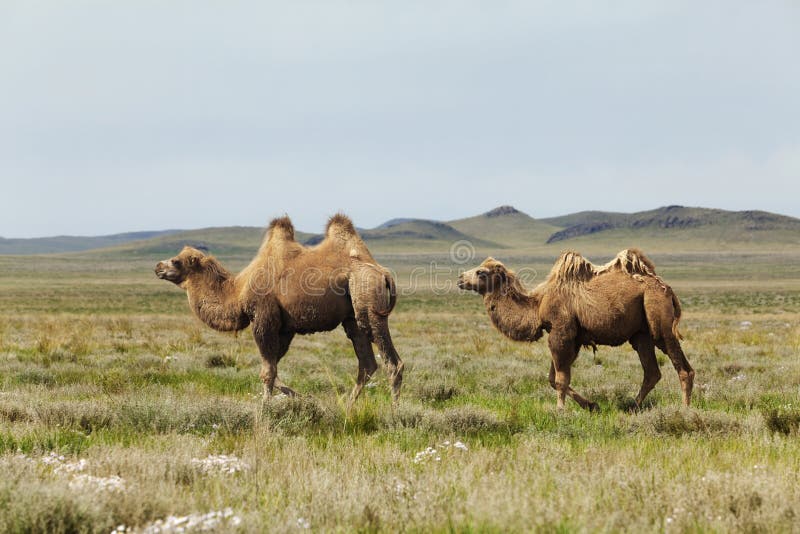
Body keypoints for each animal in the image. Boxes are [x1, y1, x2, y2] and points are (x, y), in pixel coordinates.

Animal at [155, 214, 404, 402]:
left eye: (176, 261)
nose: (158, 266)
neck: (238, 291)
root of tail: (383, 272)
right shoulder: (285, 327)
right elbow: (273, 369)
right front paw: (300, 396)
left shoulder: (263, 318)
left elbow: (267, 372)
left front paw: (264, 411)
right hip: (352, 316)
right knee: (367, 364)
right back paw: (348, 407)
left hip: (368, 300)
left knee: (393, 362)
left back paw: (394, 412)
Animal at [457, 249, 694, 411]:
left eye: (481, 272)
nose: (460, 279)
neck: (538, 304)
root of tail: (666, 288)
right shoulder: (573, 337)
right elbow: (552, 378)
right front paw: (591, 405)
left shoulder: (561, 332)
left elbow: (560, 379)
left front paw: (560, 410)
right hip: (641, 333)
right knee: (651, 372)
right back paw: (632, 407)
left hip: (657, 316)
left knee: (682, 367)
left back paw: (684, 409)